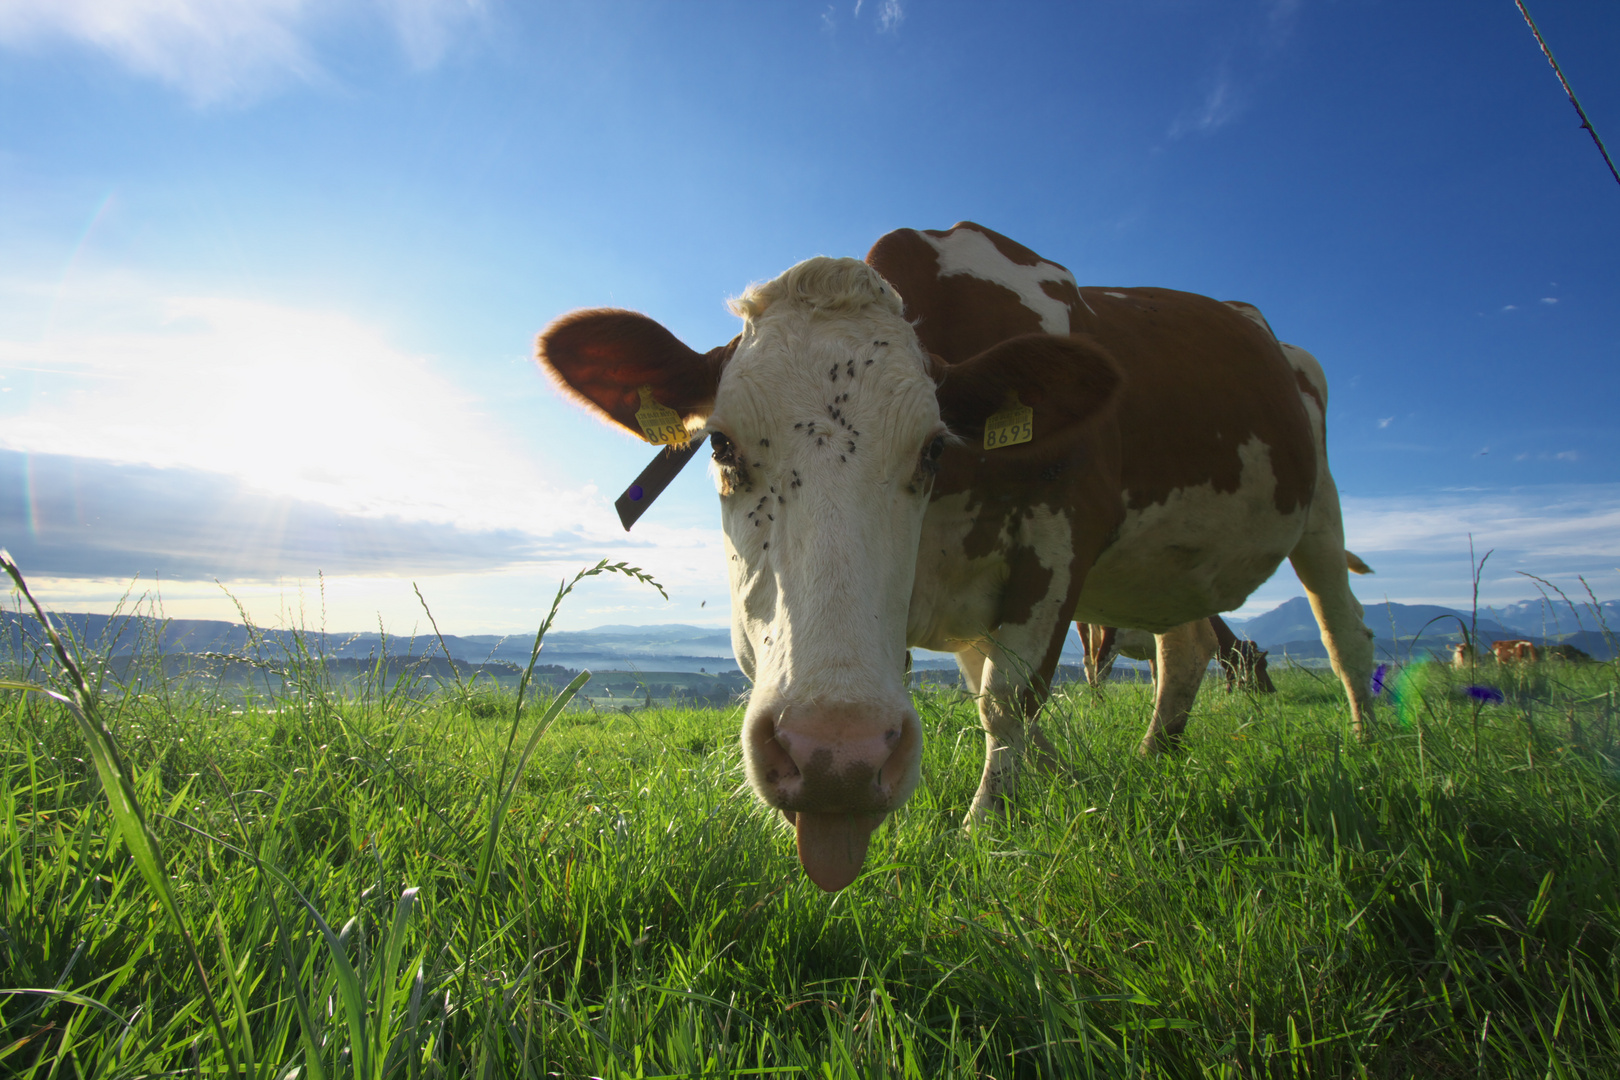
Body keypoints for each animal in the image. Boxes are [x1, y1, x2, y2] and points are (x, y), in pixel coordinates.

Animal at [538, 221, 1375, 892]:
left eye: (934, 448)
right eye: (721, 444)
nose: (832, 756)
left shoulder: (1062, 539)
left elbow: (1008, 701)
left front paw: (986, 828)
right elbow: (997, 700)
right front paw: (1063, 784)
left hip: (1321, 516)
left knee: (1342, 628)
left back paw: (1369, 743)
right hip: (1174, 564)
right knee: (1188, 644)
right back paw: (1153, 756)